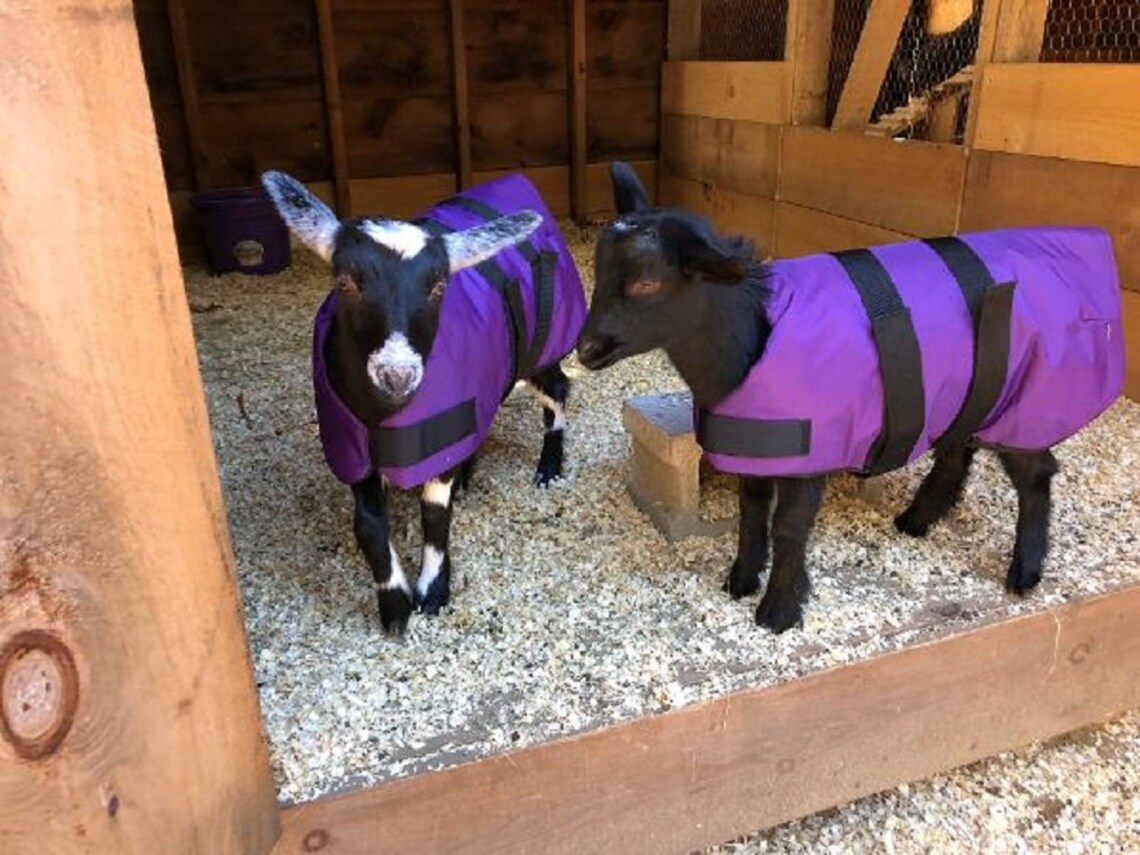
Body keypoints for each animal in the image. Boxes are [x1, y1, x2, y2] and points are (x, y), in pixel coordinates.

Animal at [262, 171, 586, 634]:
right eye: (345, 282)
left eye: (438, 287)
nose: (397, 374)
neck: (383, 414)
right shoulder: (352, 446)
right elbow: (368, 525)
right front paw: (394, 605)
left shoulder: (438, 432)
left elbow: (434, 516)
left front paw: (432, 591)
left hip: (538, 356)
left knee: (558, 390)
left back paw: (548, 465)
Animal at [577, 162, 1124, 633]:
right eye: (599, 273)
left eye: (647, 282)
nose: (585, 349)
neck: (752, 340)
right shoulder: (757, 443)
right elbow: (752, 516)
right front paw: (740, 581)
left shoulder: (810, 451)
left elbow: (789, 527)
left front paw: (779, 610)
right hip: (971, 392)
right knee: (957, 453)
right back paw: (915, 521)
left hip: (1029, 401)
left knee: (1036, 475)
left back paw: (1024, 572)